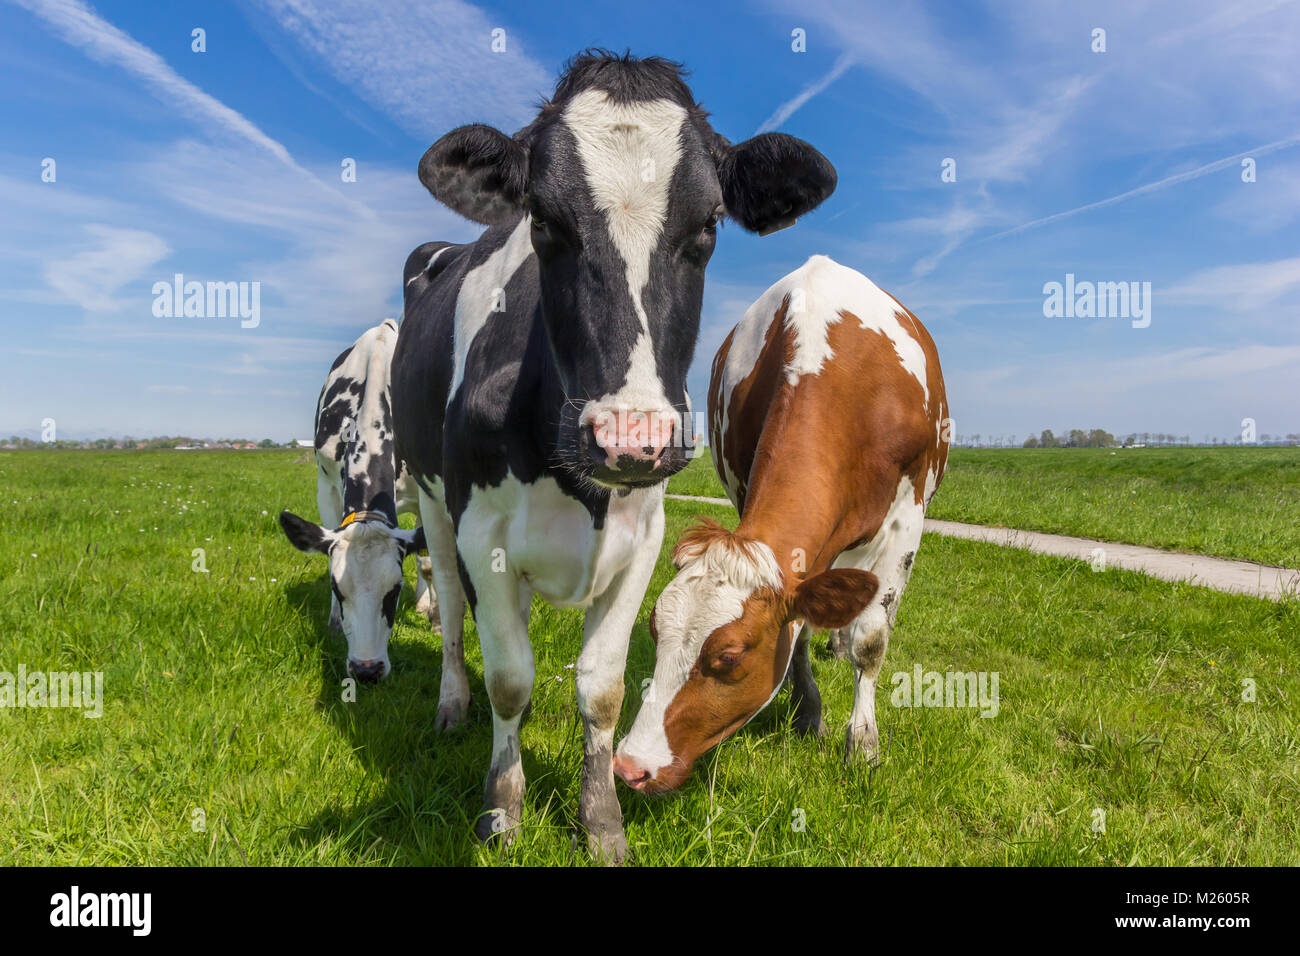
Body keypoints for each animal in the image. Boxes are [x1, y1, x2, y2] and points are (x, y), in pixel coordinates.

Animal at [279, 319, 435, 682]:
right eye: (338, 590)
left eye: (393, 592)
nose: (366, 669)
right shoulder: (326, 488)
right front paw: (335, 624)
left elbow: (428, 560)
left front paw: (436, 619)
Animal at [390, 51, 837, 862]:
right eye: (542, 220)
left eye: (709, 223)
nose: (630, 437)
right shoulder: (480, 534)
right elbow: (509, 678)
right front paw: (502, 812)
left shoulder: (643, 537)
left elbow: (600, 689)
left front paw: (600, 824)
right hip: (434, 505)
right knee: (452, 620)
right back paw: (451, 704)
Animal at [614, 255, 949, 793]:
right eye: (654, 631)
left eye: (729, 657)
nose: (630, 766)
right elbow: (801, 630)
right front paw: (808, 712)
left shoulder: (908, 515)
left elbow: (872, 640)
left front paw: (864, 746)